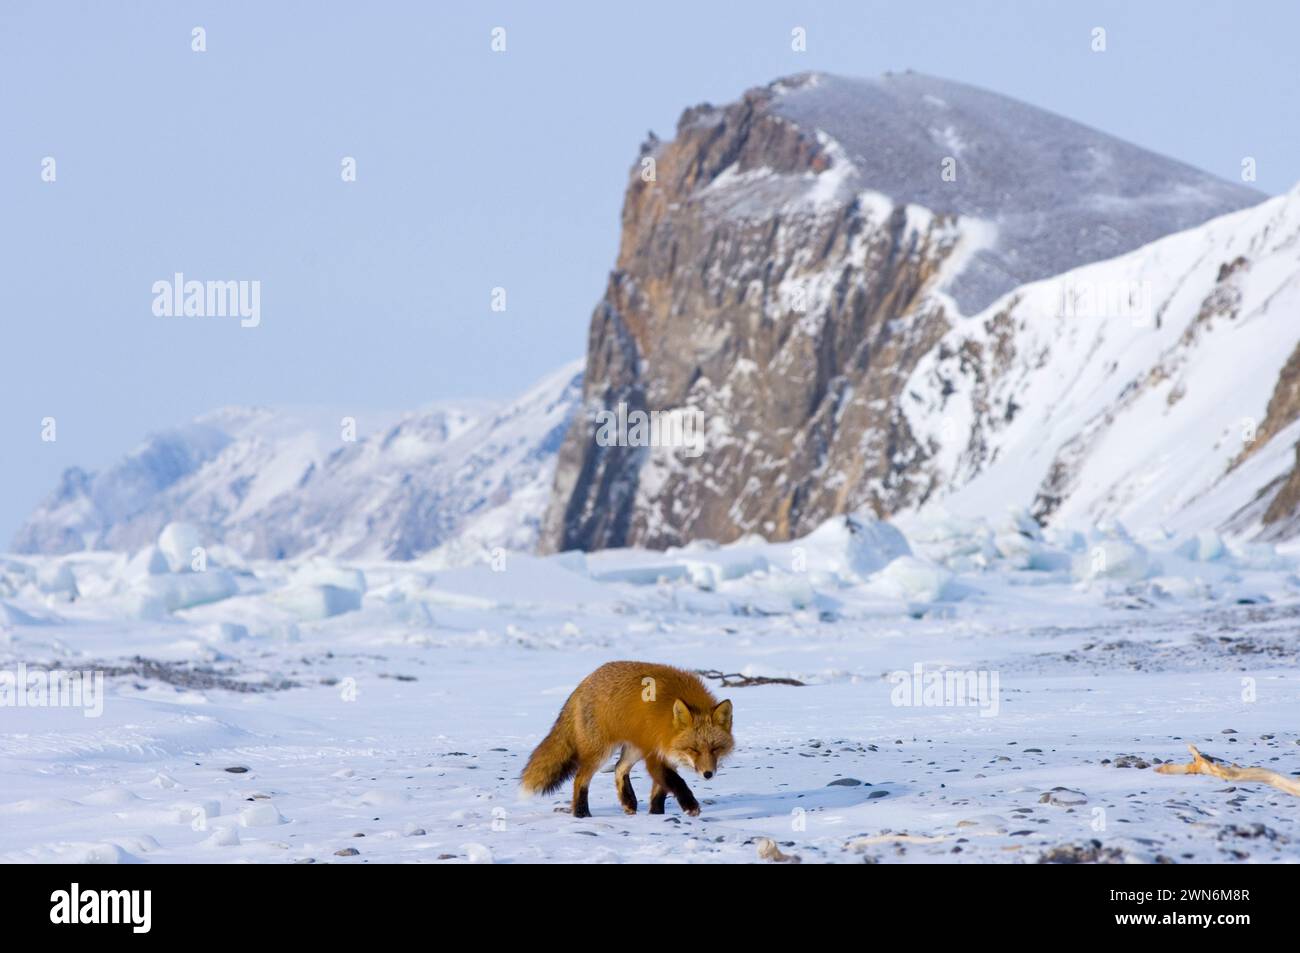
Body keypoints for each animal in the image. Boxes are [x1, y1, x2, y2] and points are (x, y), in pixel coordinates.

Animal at [520, 661, 734, 817]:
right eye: (693, 749)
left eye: (715, 749)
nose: (708, 774)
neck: (666, 723)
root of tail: (585, 682)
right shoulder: (654, 755)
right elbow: (676, 782)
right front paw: (690, 806)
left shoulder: (667, 756)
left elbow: (660, 790)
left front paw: (656, 814)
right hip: (601, 752)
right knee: (580, 778)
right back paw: (581, 814)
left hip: (634, 749)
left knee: (619, 768)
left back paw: (628, 802)